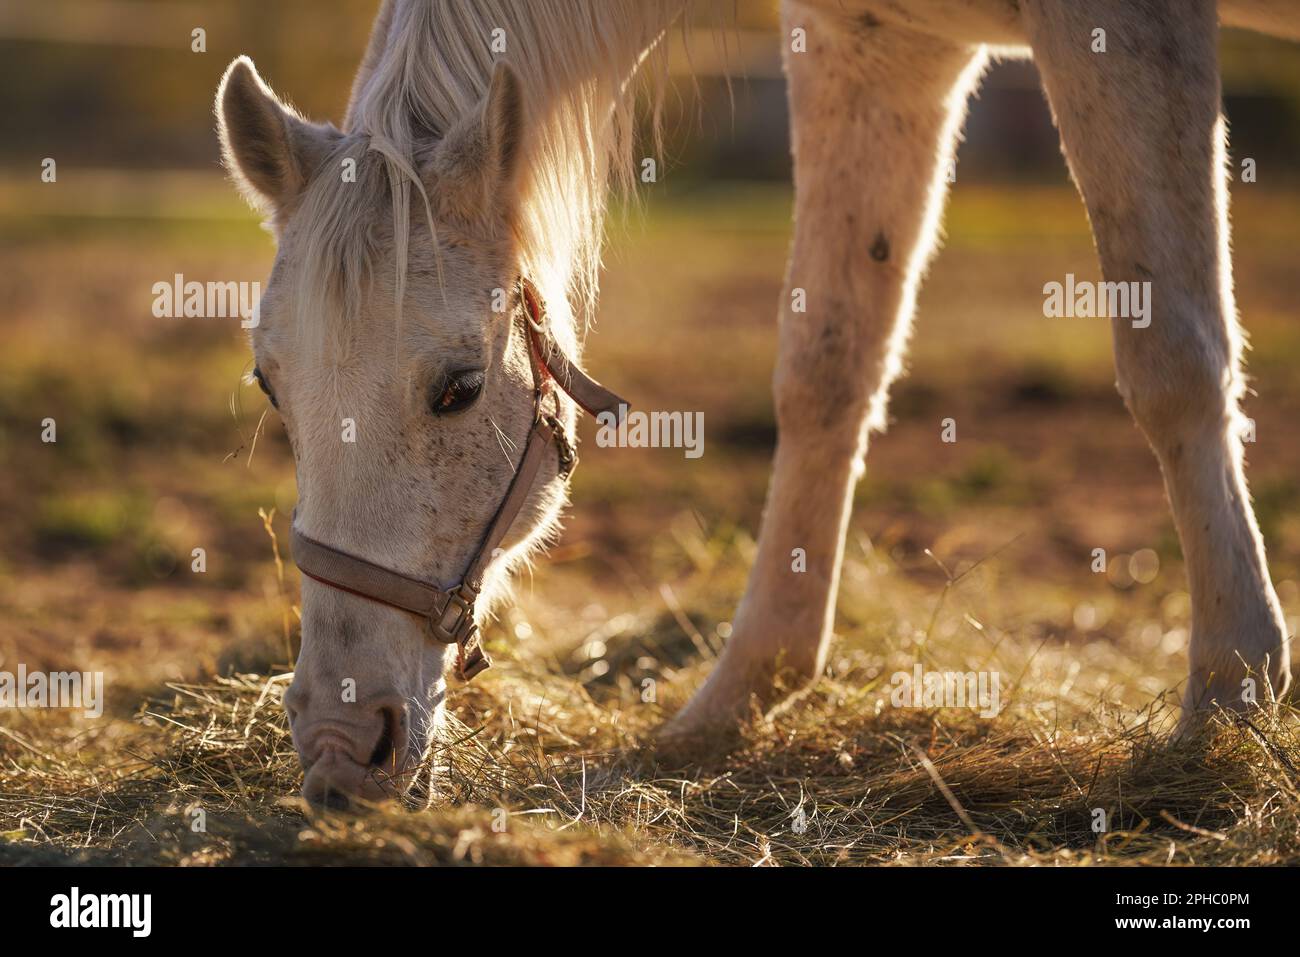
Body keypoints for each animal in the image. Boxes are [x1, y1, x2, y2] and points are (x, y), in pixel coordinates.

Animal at [216, 0, 1300, 808]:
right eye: (271, 386)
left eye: (459, 388)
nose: (338, 740)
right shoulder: (878, 49)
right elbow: (826, 368)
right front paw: (741, 695)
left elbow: (1172, 357)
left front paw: (1227, 698)